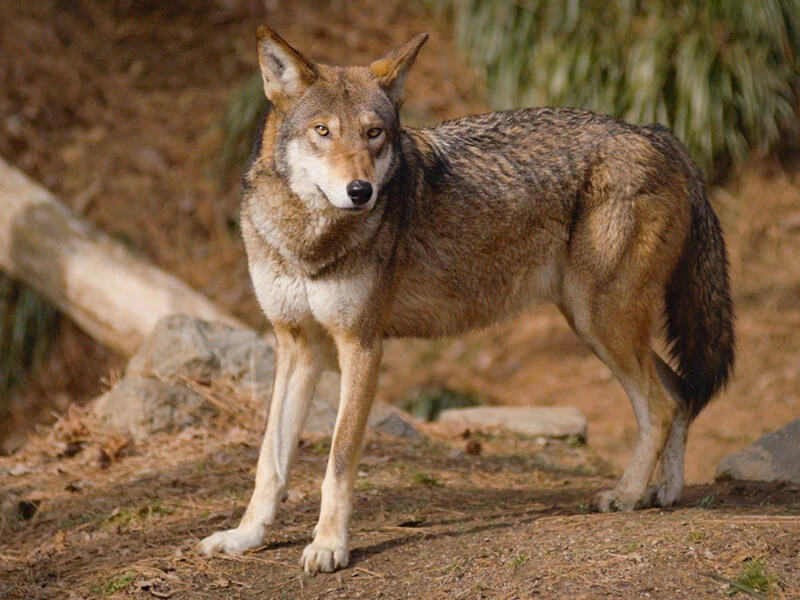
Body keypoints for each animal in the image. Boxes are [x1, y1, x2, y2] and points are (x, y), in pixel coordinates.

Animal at [199, 26, 735, 573]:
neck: (305, 240)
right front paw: (246, 535)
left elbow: (339, 461)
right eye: (323, 131)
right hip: (598, 325)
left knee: (661, 406)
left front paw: (330, 545)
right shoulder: (298, 345)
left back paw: (627, 495)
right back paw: (664, 493)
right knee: (678, 392)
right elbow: (270, 461)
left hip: (601, 323)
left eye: (374, 134)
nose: (360, 191)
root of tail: (655, 132)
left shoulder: (361, 346)